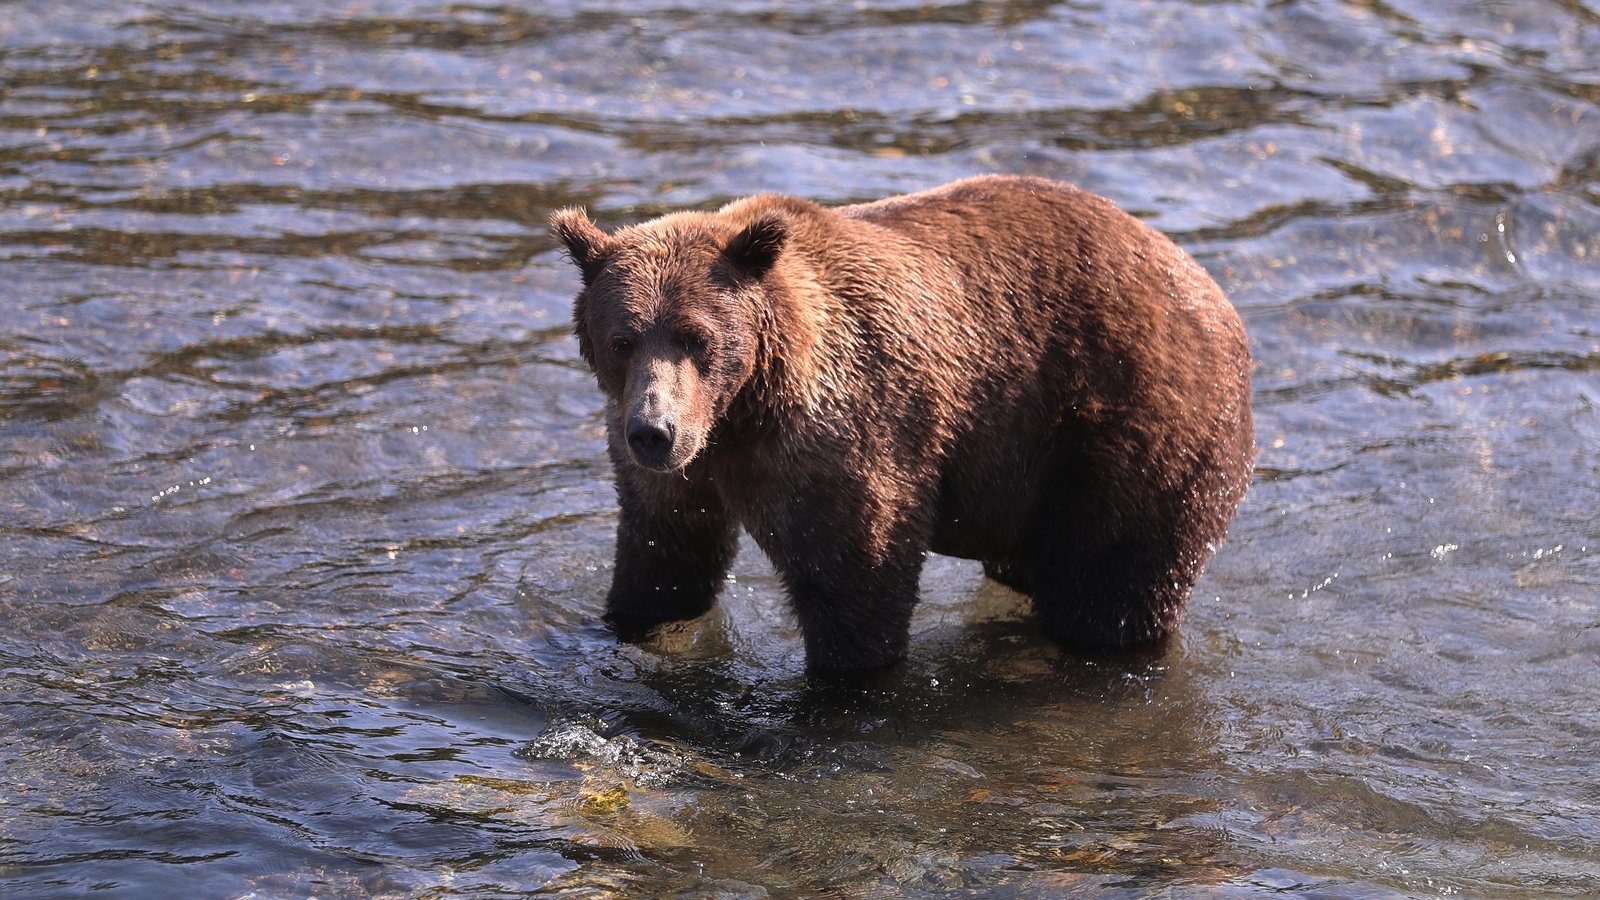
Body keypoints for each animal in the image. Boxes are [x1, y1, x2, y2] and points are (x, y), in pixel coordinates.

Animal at [551, 174, 1253, 674]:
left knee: (1112, 581)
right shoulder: (673, 468)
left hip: (1131, 420)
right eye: (622, 340)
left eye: (696, 338)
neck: (742, 412)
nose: (656, 430)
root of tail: (1207, 285)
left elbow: (856, 572)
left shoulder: (839, 431)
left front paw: (841, 678)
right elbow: (664, 557)